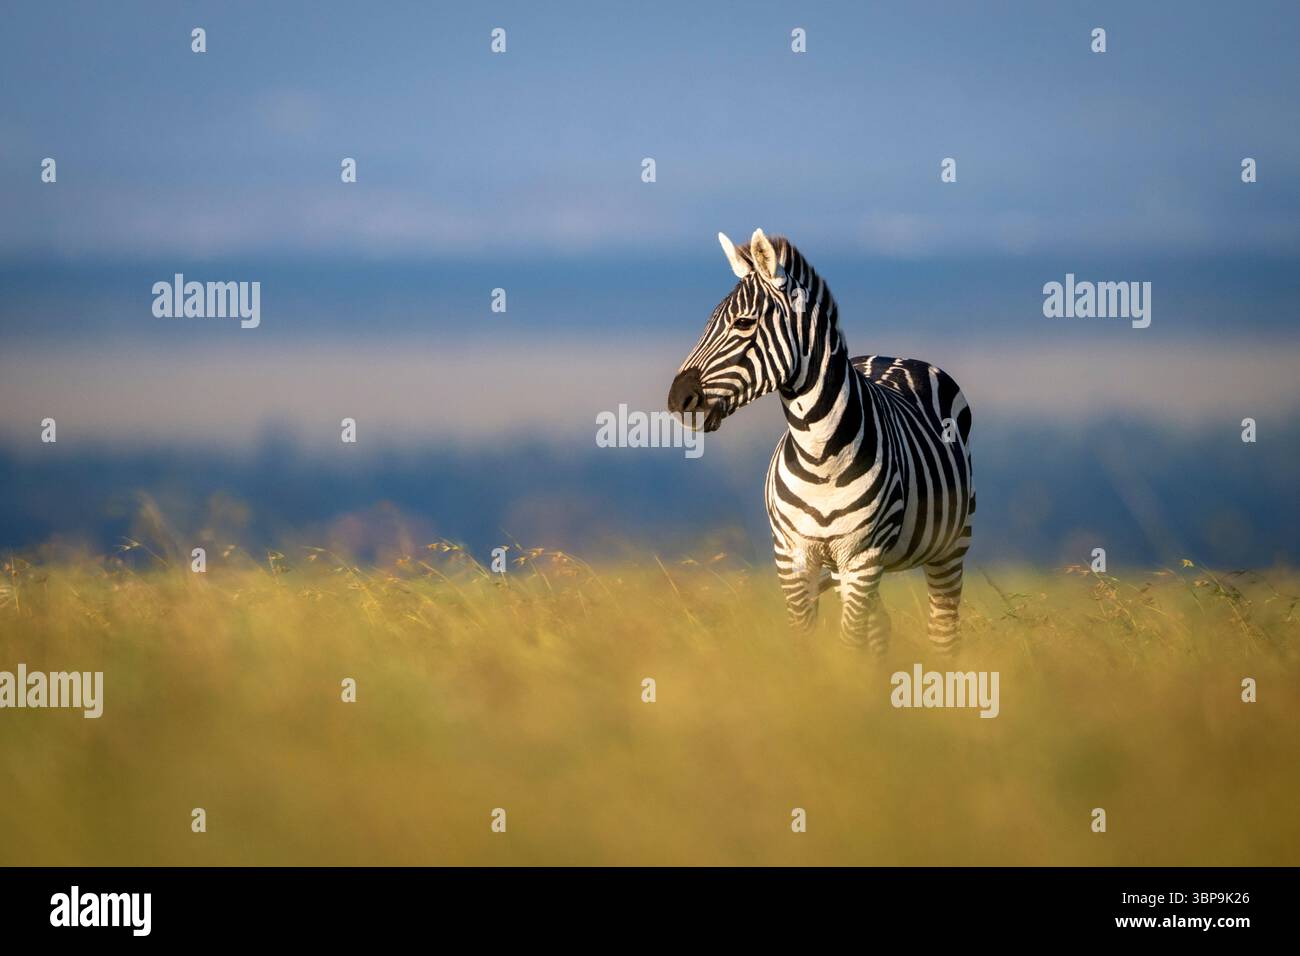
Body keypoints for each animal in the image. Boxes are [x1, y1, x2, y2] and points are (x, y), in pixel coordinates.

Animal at [666, 229, 975, 654]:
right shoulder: (792, 558)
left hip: (951, 546)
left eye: (743, 323)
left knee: (943, 631)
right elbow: (806, 640)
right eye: (709, 321)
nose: (677, 399)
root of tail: (892, 355)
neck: (820, 456)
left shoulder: (863, 558)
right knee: (881, 627)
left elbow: (849, 643)